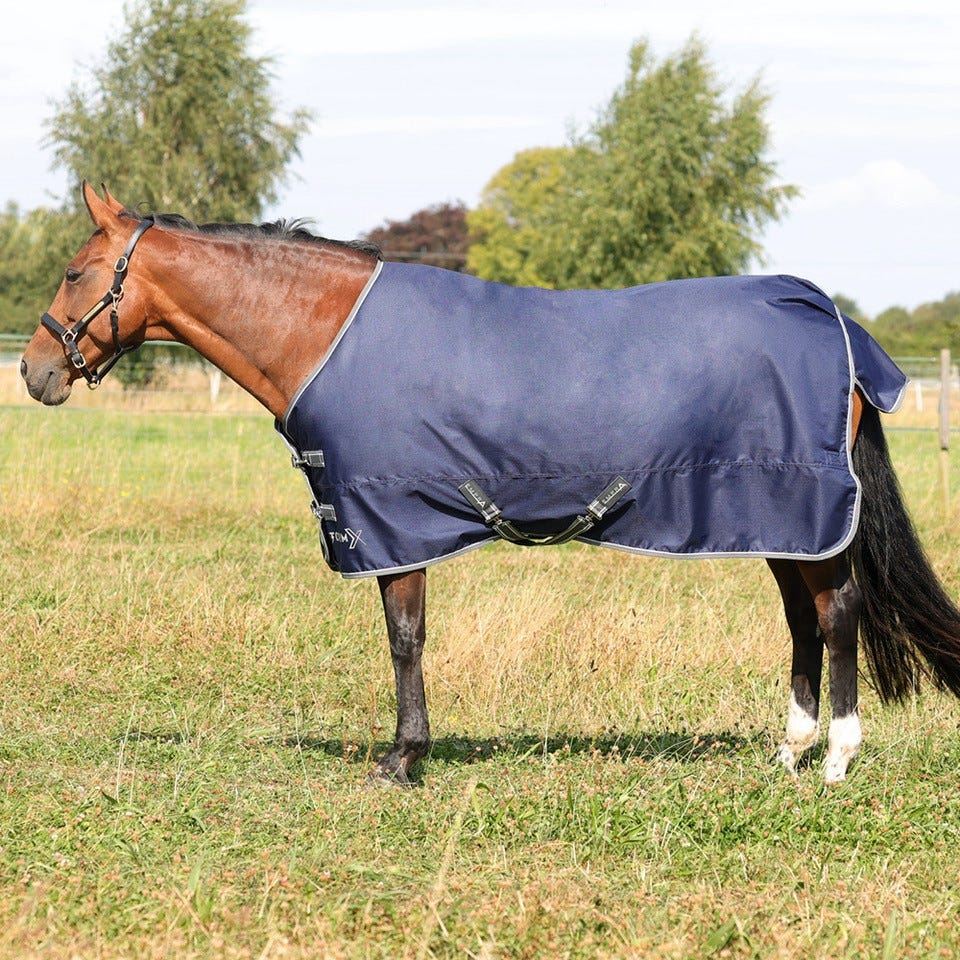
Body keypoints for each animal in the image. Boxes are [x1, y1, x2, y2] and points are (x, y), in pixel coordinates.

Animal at [20, 184, 960, 785]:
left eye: (73, 271)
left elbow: (404, 640)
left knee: (837, 615)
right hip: (773, 519)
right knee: (803, 619)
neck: (326, 333)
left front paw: (403, 759)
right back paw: (790, 750)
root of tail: (835, 322)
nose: (34, 373)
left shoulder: (392, 521)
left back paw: (836, 757)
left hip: (804, 512)